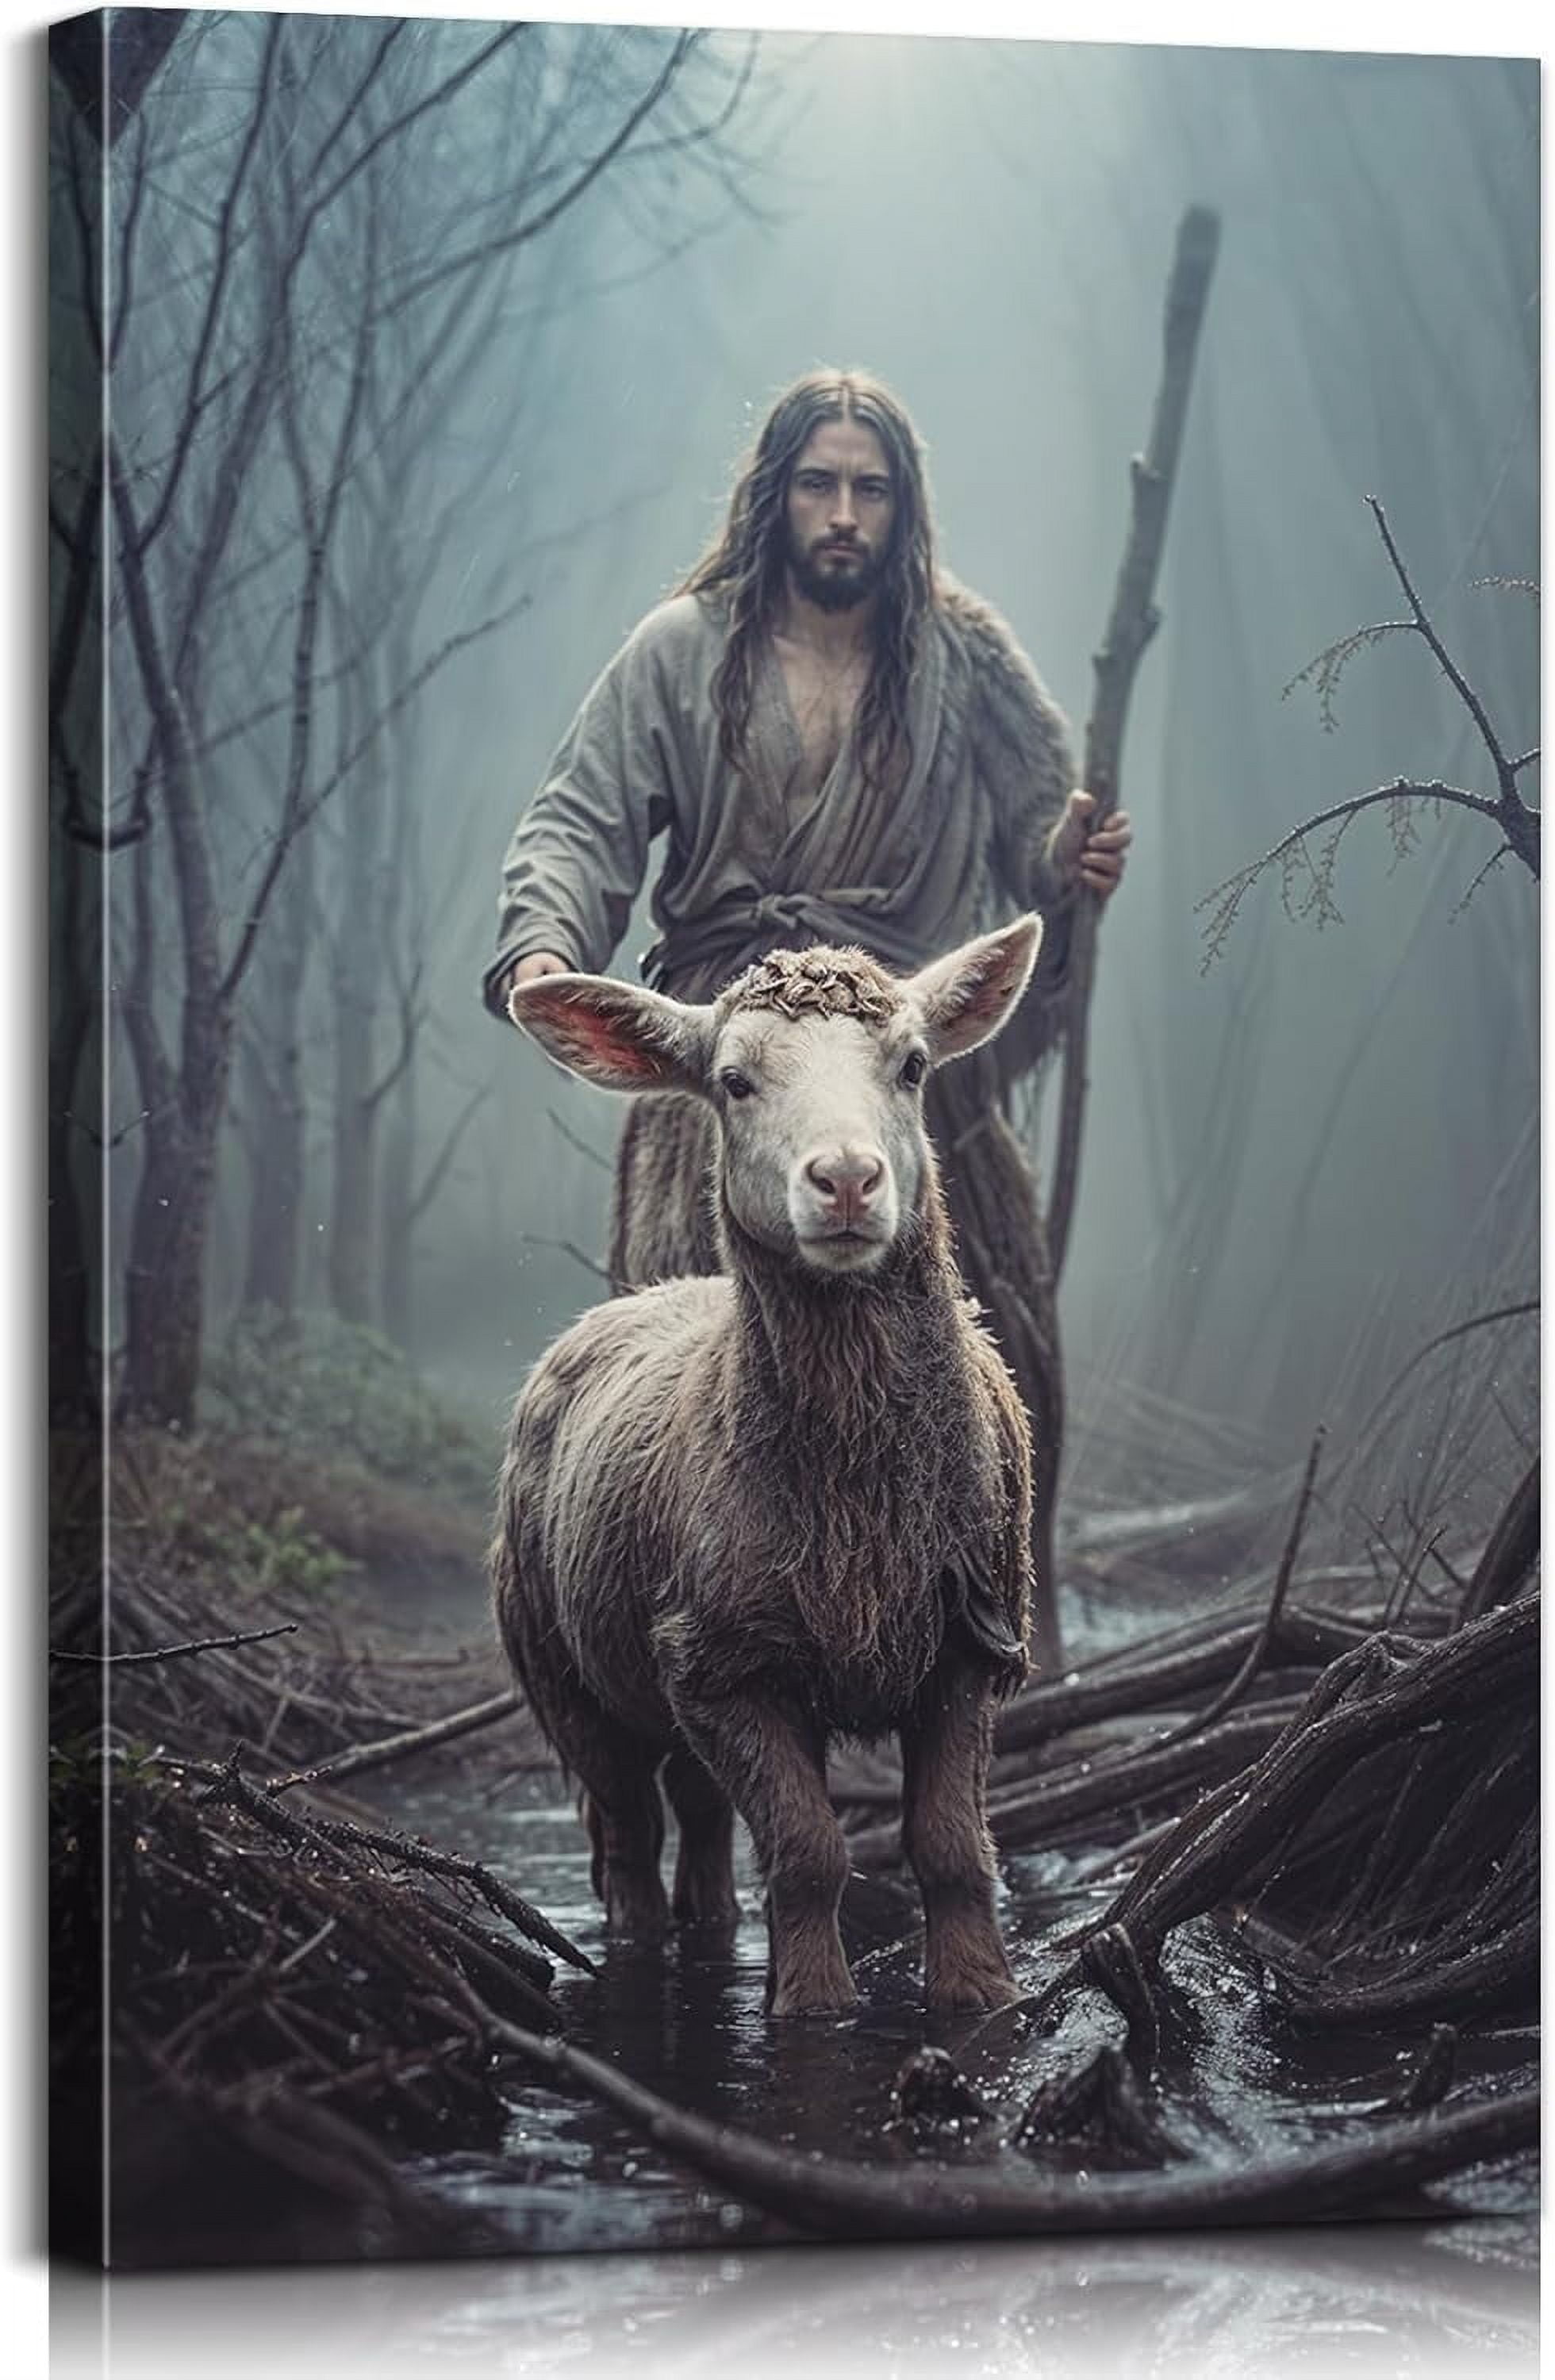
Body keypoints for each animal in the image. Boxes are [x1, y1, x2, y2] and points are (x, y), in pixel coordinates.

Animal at [492, 916, 1041, 2017]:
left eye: (913, 1066)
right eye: (734, 1082)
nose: (846, 1179)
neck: (861, 1511)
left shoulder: (972, 1642)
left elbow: (951, 1848)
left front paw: (977, 1993)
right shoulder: (727, 1669)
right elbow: (807, 1853)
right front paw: (814, 2007)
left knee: (701, 1821)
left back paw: (713, 1929)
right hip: (563, 1668)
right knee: (629, 1832)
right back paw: (640, 1948)